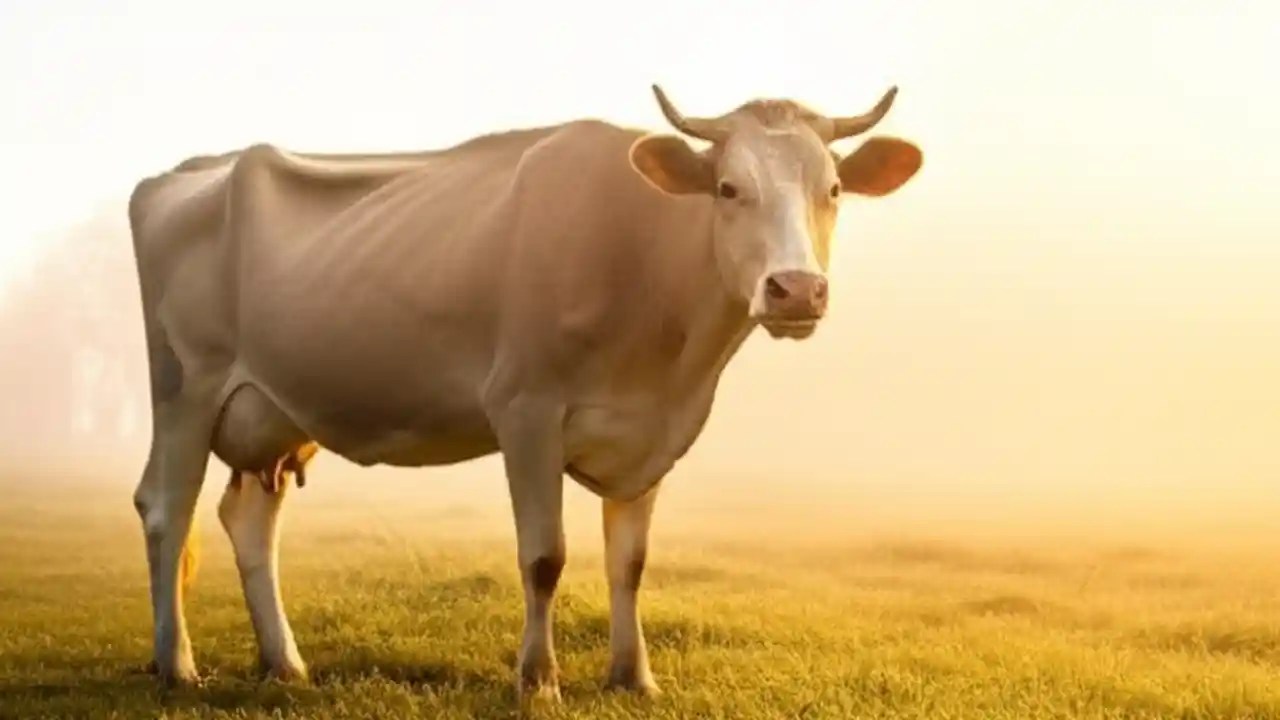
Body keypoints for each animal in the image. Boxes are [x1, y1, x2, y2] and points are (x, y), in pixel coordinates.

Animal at [126, 83, 922, 699]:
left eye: (833, 190)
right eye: (729, 189)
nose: (797, 289)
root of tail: (190, 170)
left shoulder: (651, 430)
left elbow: (630, 562)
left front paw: (634, 677)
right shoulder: (526, 410)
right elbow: (545, 556)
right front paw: (538, 680)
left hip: (275, 409)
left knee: (249, 520)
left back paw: (285, 664)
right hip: (185, 390)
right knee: (166, 509)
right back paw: (177, 665)